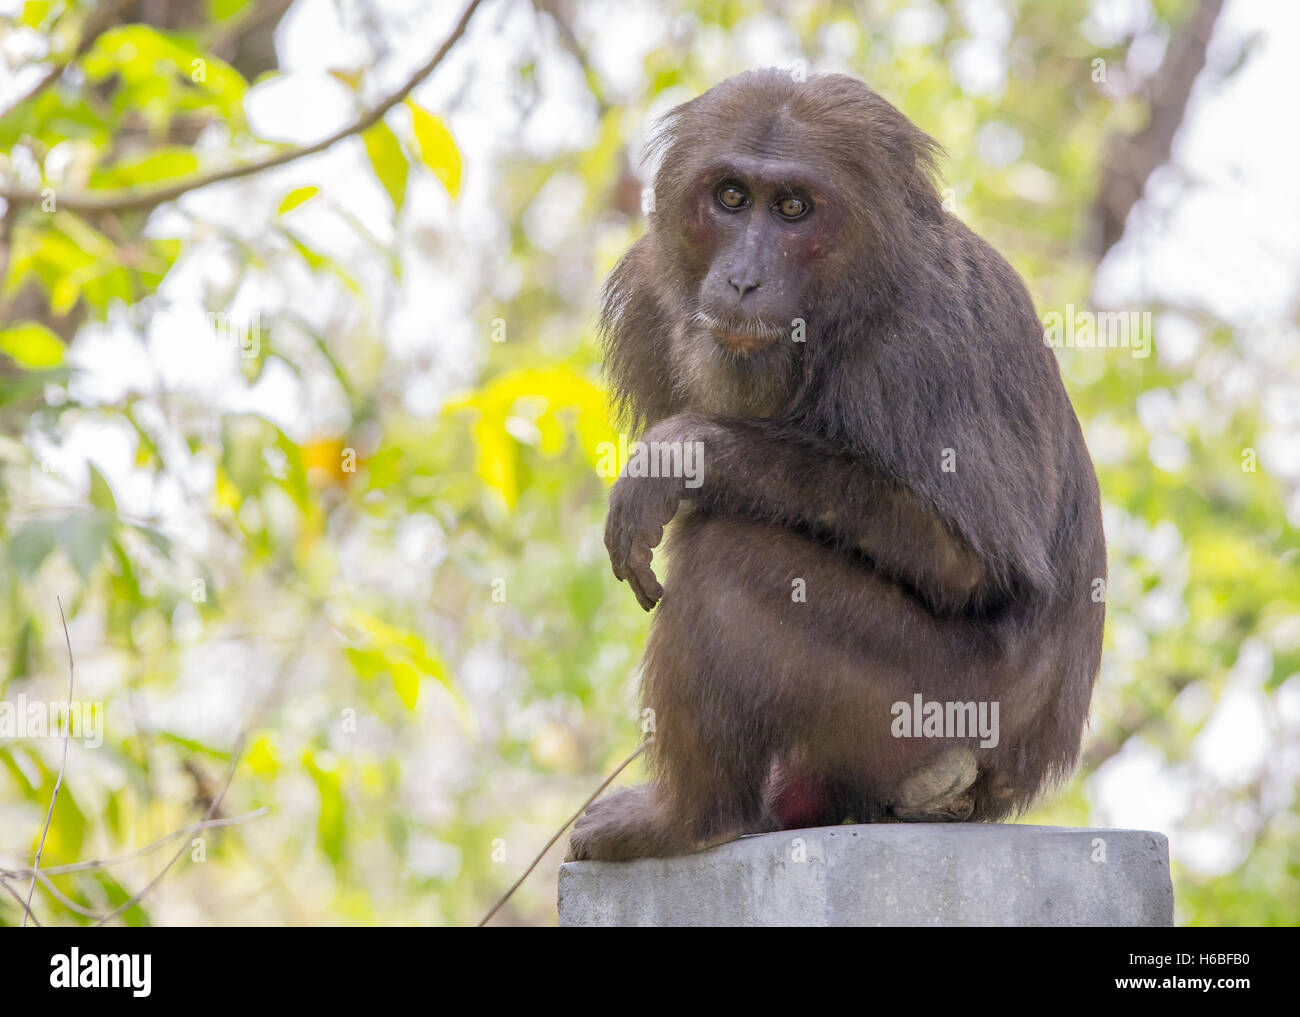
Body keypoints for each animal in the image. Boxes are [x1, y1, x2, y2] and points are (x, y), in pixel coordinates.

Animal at [566, 69, 1106, 862]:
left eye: (794, 208)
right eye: (731, 197)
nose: (744, 278)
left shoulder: (921, 342)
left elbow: (973, 564)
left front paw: (690, 453)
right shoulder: (647, 302)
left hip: (938, 711)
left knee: (728, 562)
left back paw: (691, 818)